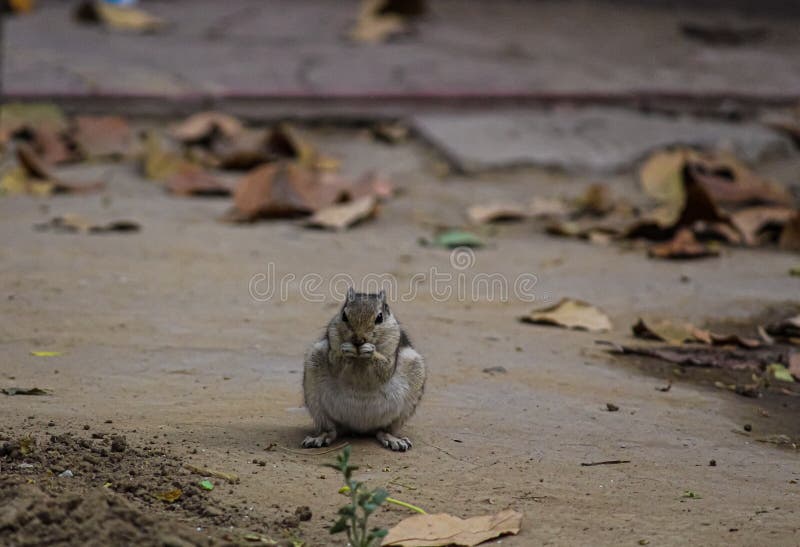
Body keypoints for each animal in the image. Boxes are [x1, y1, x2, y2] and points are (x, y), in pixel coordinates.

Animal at [302, 288, 426, 451]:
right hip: (316, 400)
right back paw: (320, 437)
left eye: (379, 317)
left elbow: (385, 369)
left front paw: (370, 351)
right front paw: (345, 350)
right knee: (332, 430)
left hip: (404, 406)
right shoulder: (333, 339)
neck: (358, 358)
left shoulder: (392, 347)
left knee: (382, 430)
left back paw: (392, 439)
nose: (358, 340)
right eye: (344, 315)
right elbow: (334, 364)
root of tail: (360, 428)